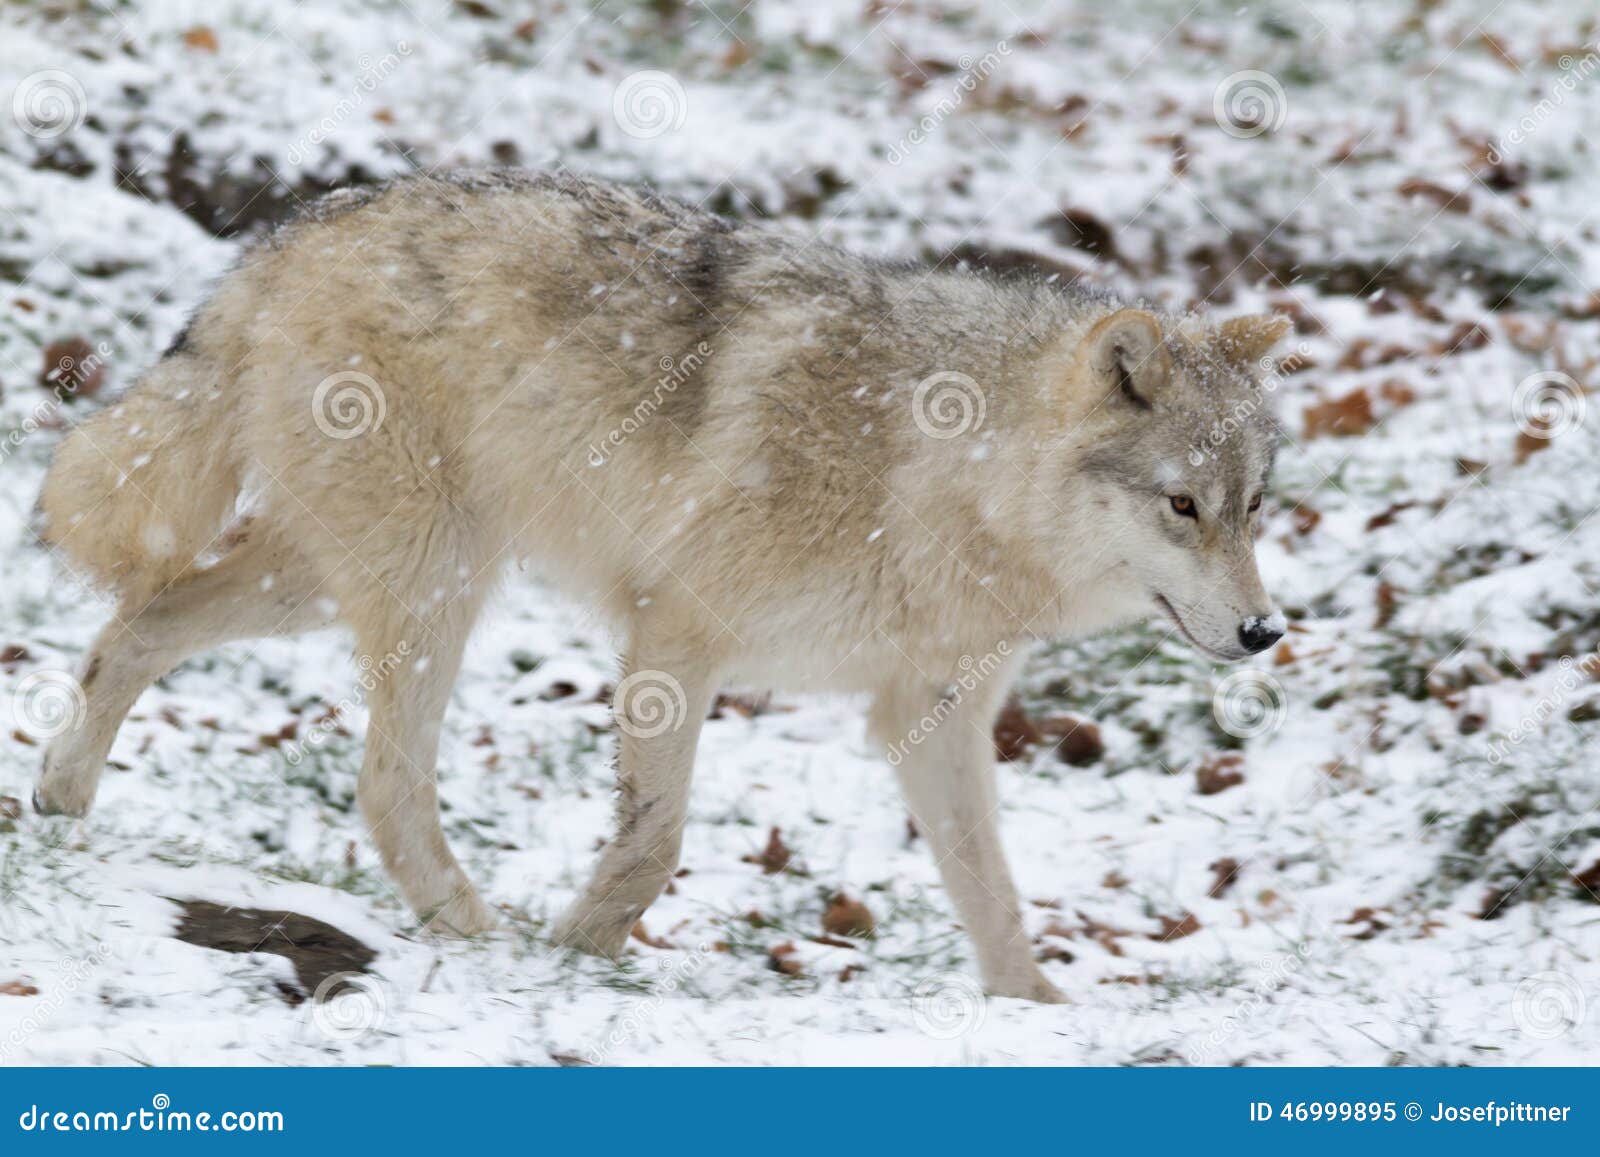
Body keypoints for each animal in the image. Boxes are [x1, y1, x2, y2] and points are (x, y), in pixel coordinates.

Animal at [33, 170, 1286, 1003]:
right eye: (1182, 505)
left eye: (1253, 505)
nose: (1266, 629)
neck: (926, 466)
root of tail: (293, 229)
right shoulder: (673, 635)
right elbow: (655, 842)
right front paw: (573, 958)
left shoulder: (929, 715)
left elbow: (995, 894)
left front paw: (1032, 1013)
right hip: (432, 584)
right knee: (384, 782)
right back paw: (478, 938)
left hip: (336, 577)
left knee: (139, 622)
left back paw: (58, 804)